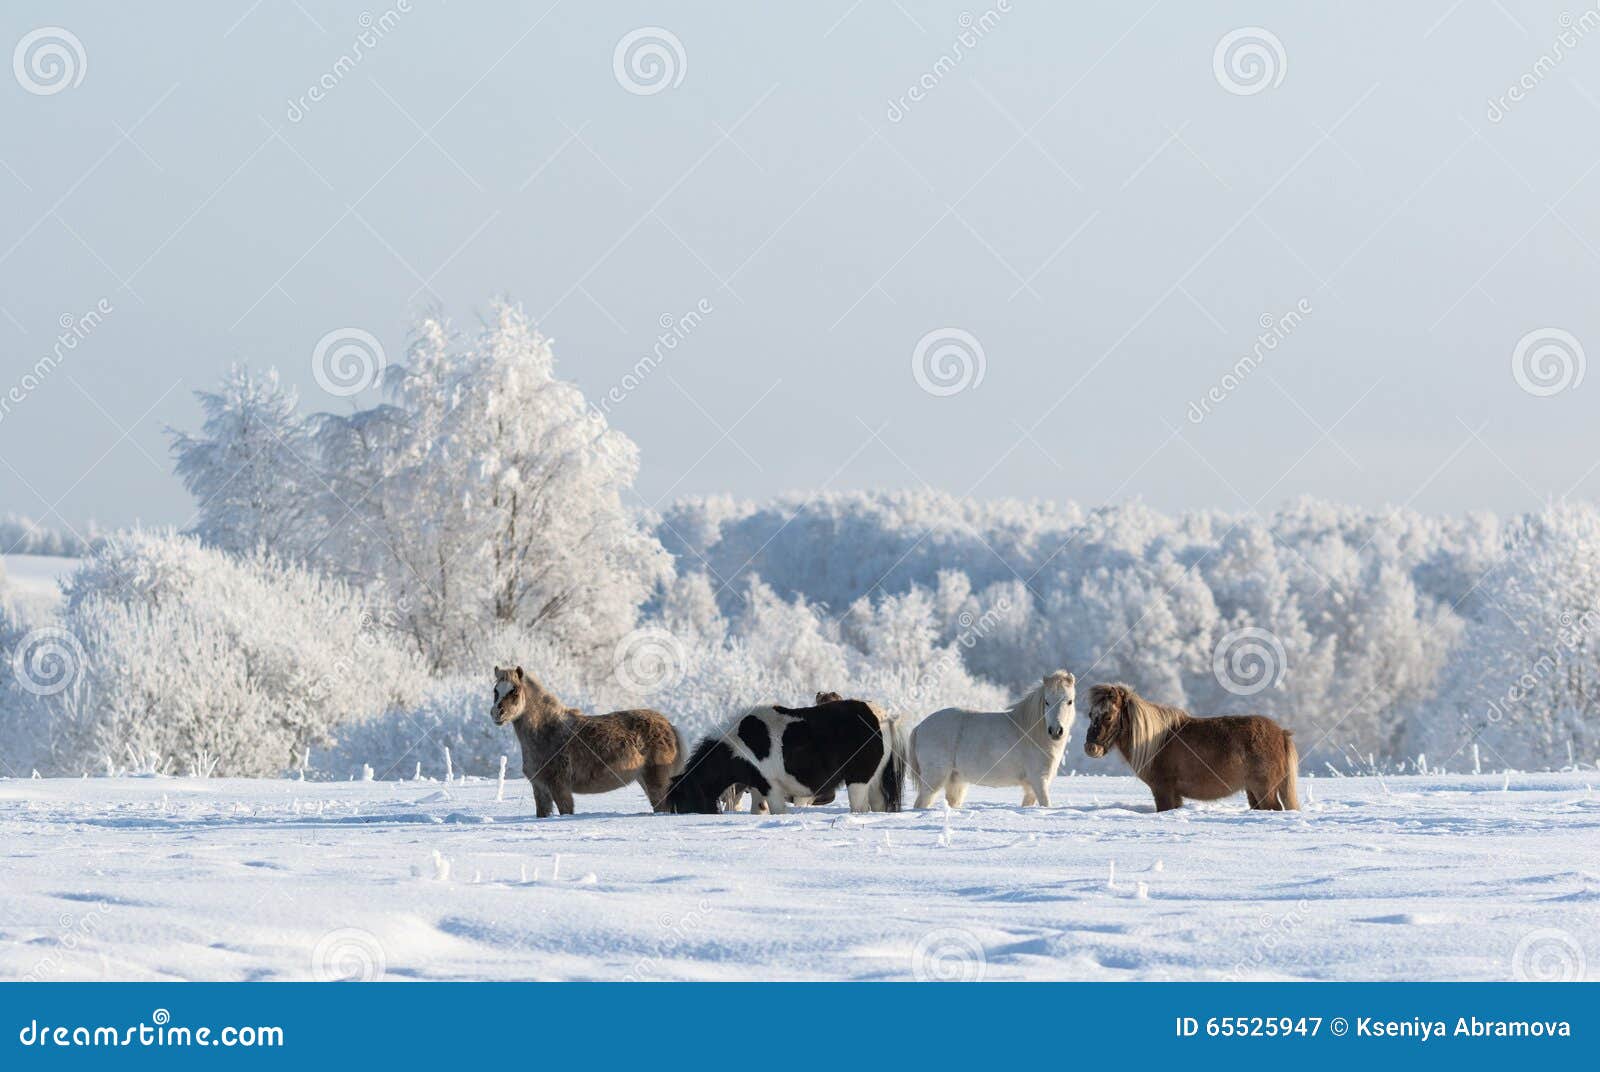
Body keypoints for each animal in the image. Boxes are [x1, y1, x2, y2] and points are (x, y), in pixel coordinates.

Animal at [491, 666, 684, 817]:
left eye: (514, 690)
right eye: (496, 691)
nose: (496, 713)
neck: (546, 731)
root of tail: (669, 726)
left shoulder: (559, 788)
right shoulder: (540, 789)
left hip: (656, 782)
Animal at [665, 696, 904, 814]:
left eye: (684, 797)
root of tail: (883, 716)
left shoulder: (771, 788)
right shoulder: (758, 788)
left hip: (858, 781)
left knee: (860, 809)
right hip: (874, 781)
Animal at [910, 671, 1076, 808]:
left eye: (1070, 701)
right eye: (1047, 701)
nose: (1056, 731)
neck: (1031, 732)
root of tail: (920, 726)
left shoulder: (1030, 788)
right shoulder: (1038, 781)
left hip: (955, 781)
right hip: (934, 779)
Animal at [1082, 682, 1299, 812]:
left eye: (1108, 716)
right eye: (1091, 715)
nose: (1090, 748)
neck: (1155, 742)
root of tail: (1281, 733)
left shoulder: (1163, 791)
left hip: (1264, 790)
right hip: (1253, 791)